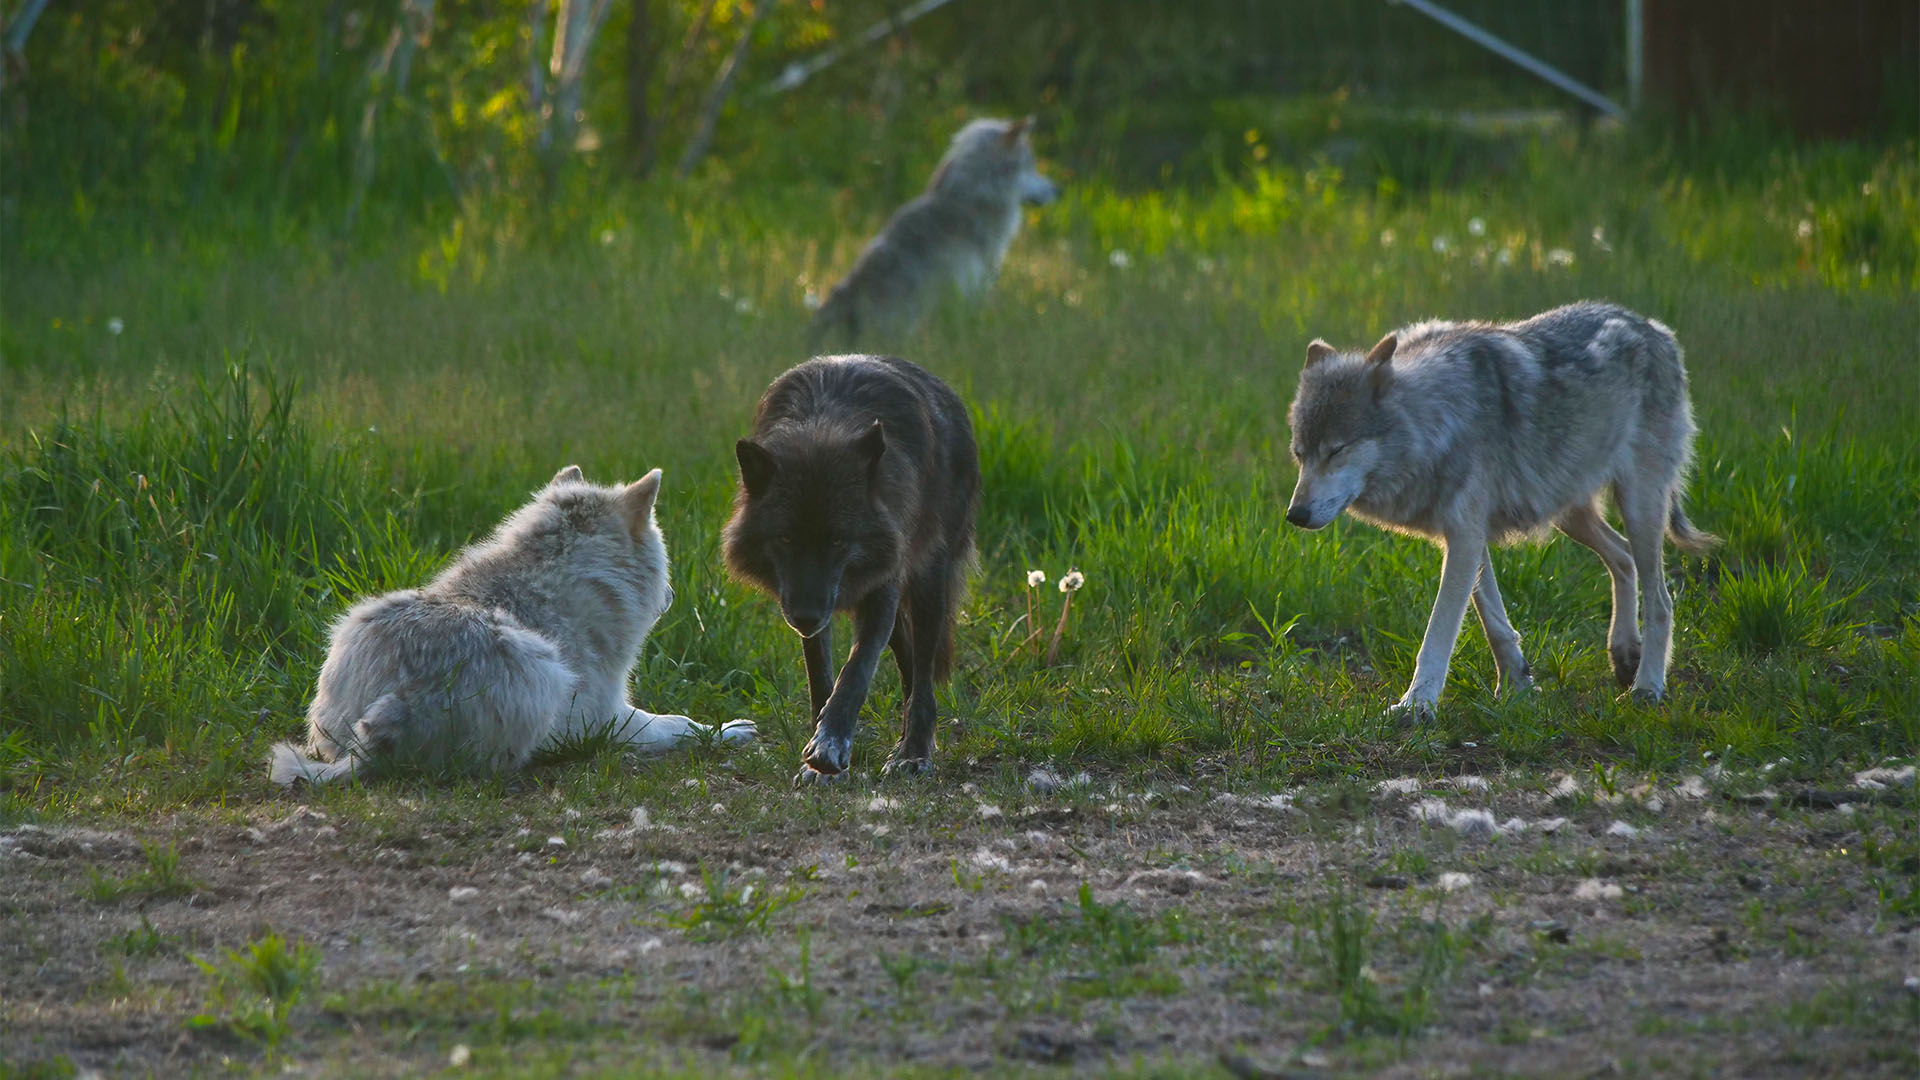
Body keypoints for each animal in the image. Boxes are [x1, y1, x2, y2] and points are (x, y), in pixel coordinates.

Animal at [269, 467, 753, 785]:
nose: (670, 597)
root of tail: (392, 703)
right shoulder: (611, 716)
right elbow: (680, 723)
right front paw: (729, 731)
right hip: (543, 669)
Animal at [723, 355, 980, 784]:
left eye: (838, 541)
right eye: (786, 539)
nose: (806, 616)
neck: (821, 425)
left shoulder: (881, 591)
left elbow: (856, 670)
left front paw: (830, 744)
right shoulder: (810, 608)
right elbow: (820, 678)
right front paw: (821, 757)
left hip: (927, 585)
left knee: (924, 675)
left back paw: (913, 752)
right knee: (910, 667)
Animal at [1284, 301, 1716, 718]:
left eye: (1336, 450)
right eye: (1300, 454)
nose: (1295, 515)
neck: (1438, 420)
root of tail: (1655, 329)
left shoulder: (1464, 536)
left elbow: (1439, 631)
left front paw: (1416, 706)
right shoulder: (1468, 536)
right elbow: (1494, 623)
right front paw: (1517, 687)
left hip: (1638, 505)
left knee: (1661, 600)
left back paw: (1648, 687)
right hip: (1570, 512)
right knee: (1623, 557)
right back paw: (1625, 654)